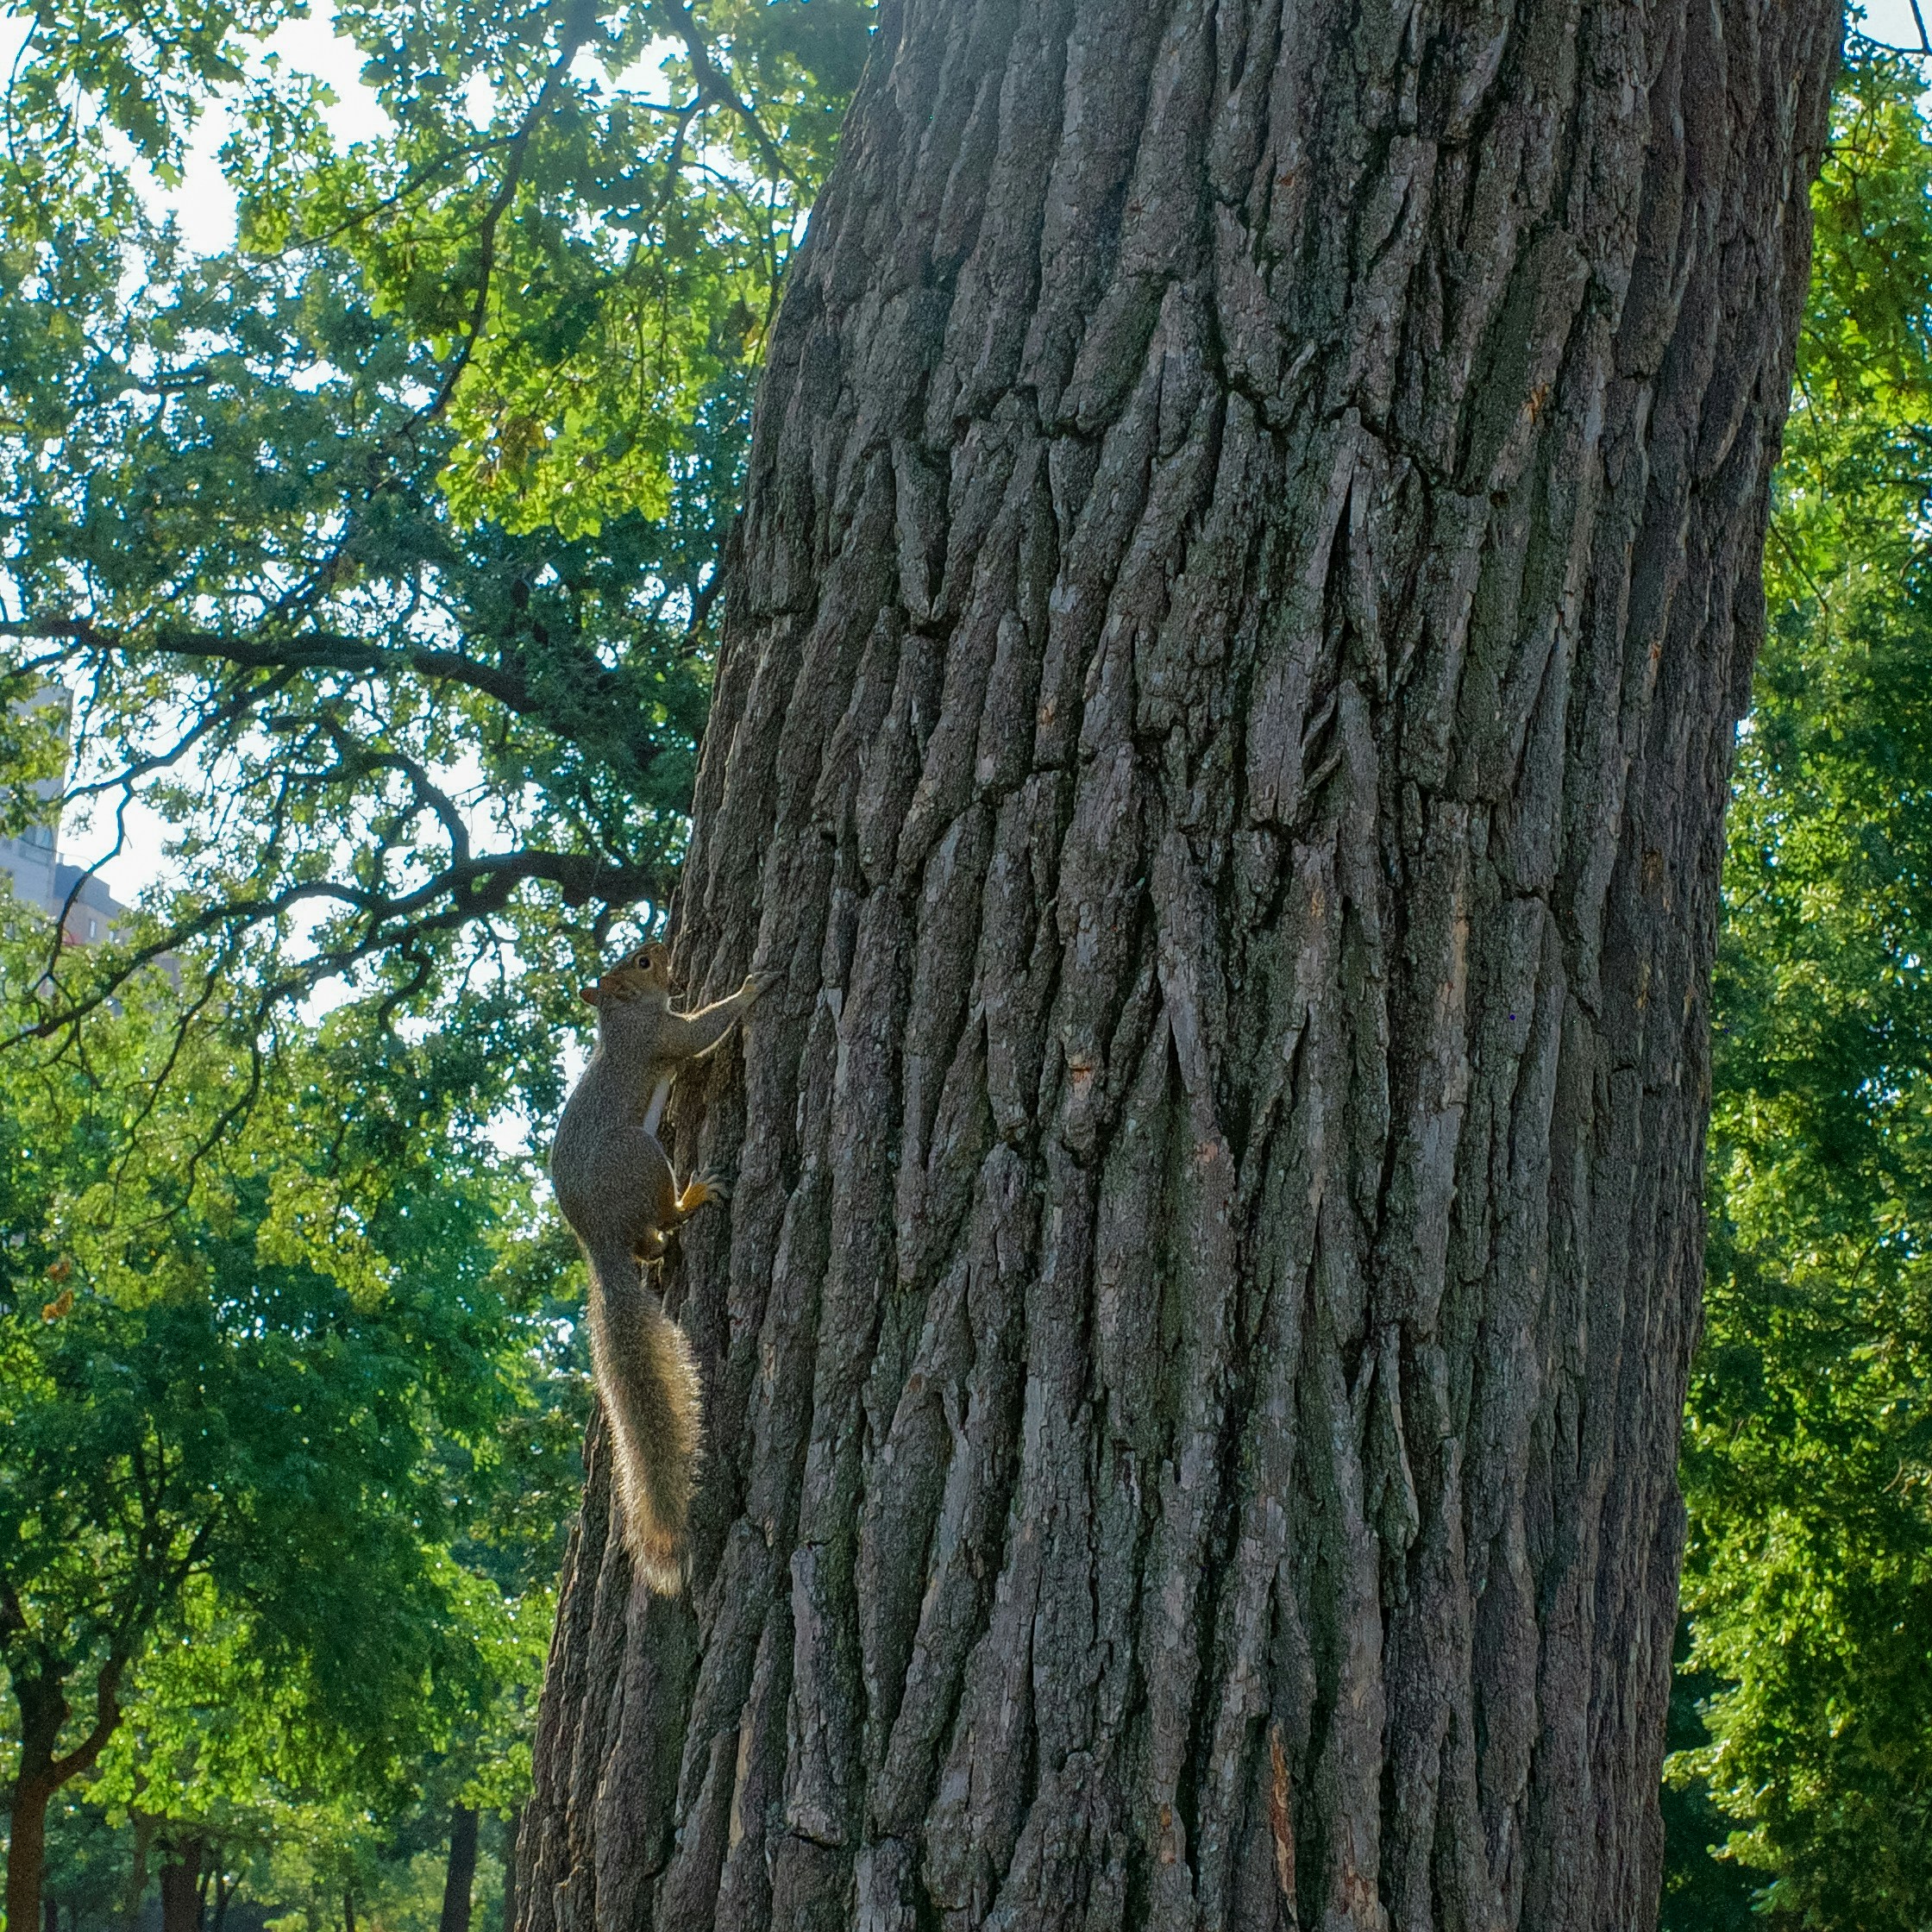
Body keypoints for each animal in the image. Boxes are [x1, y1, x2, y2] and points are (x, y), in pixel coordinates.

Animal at [550, 940, 773, 1594]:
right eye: (642, 965)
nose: (660, 944)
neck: (621, 1020)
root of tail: (598, 1244)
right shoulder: (661, 1038)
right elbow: (700, 1032)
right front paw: (751, 988)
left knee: (648, 1245)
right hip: (642, 1156)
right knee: (663, 1216)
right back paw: (692, 1198)